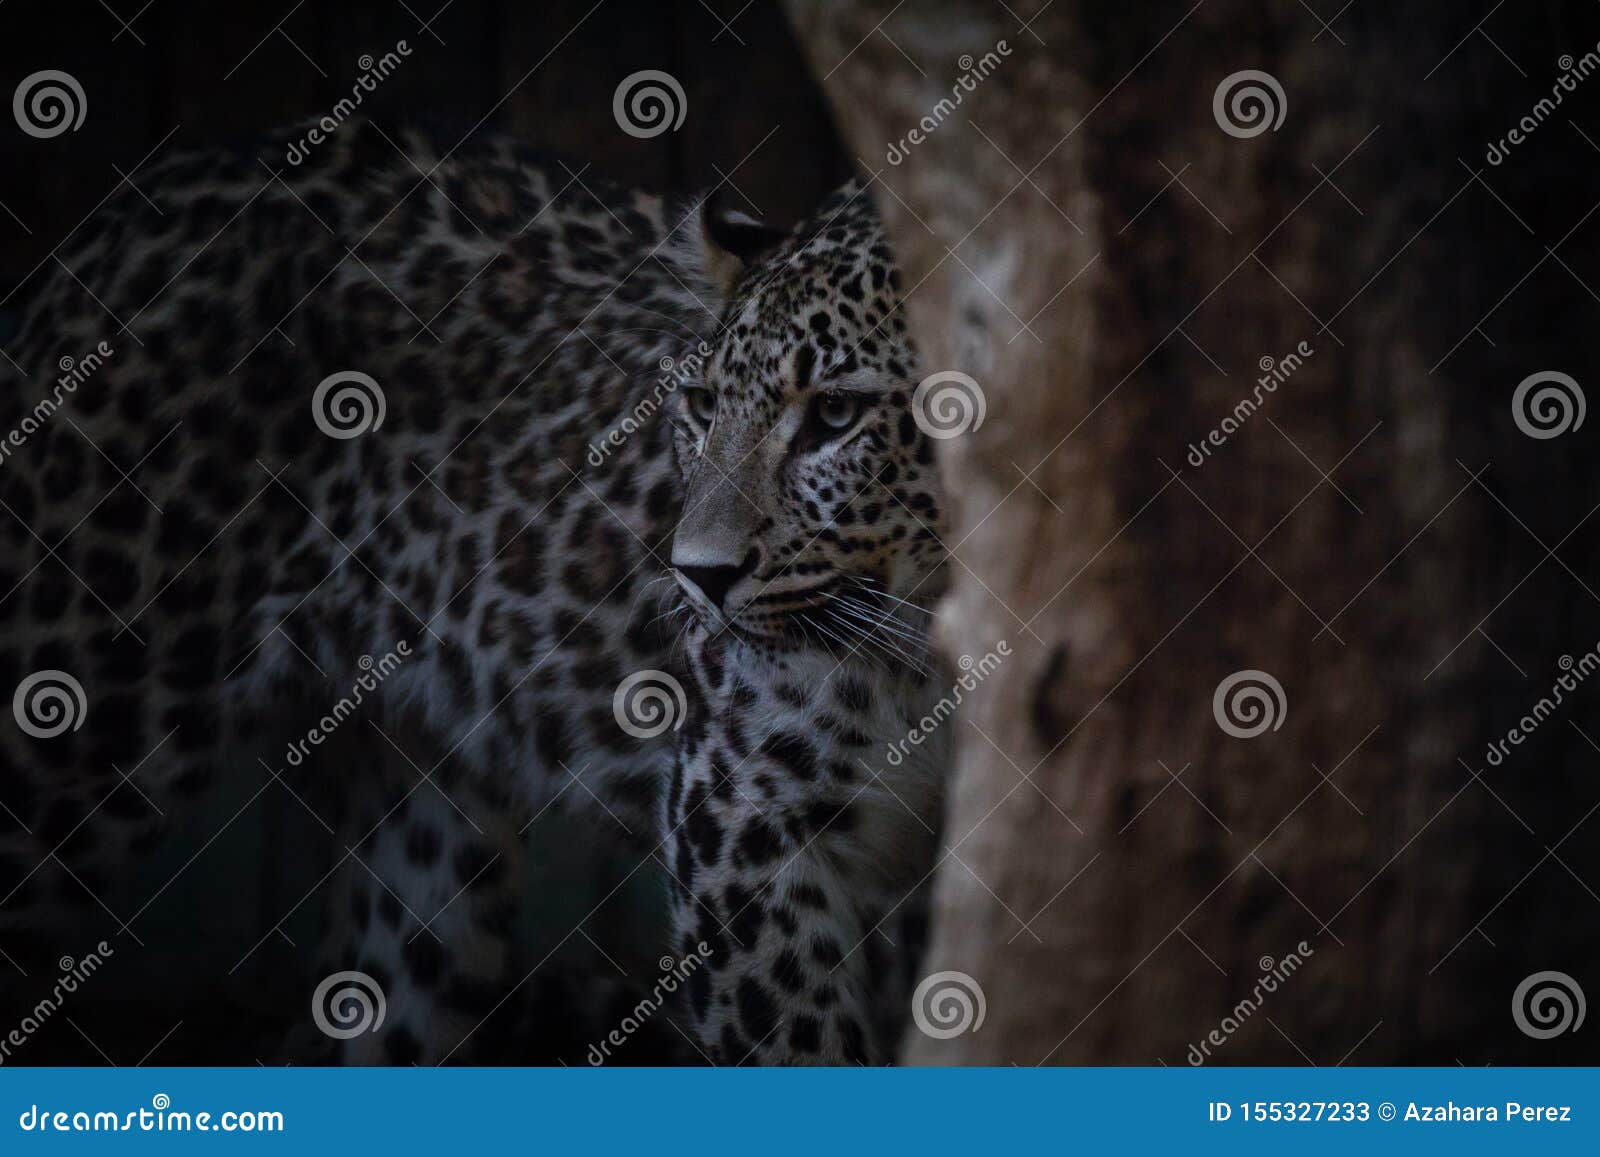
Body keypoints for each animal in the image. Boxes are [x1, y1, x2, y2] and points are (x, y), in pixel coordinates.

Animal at [0, 117, 950, 1066]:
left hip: (428, 853)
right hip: (78, 720)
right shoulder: (740, 819)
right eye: (703, 404)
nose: (699, 576)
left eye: (836, 414)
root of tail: (151, 191)